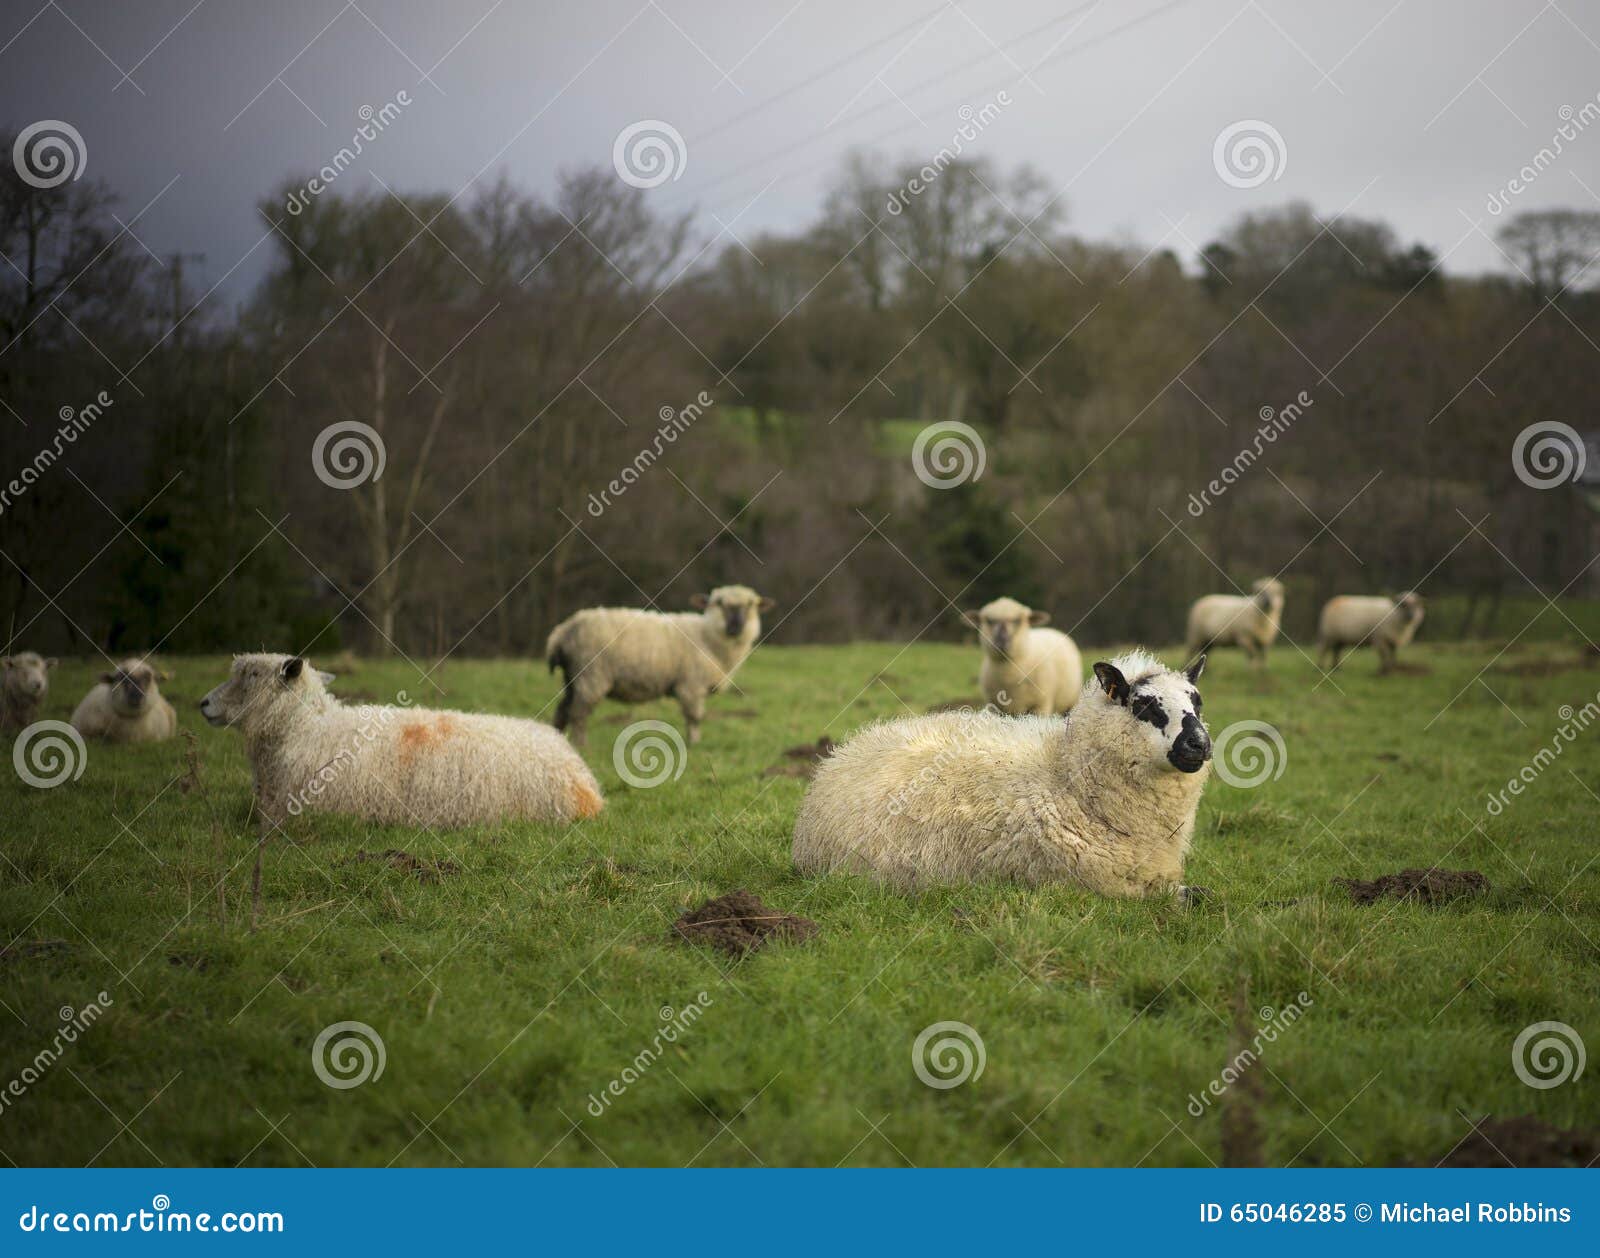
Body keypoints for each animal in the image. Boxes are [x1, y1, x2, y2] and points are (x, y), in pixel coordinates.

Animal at [545, 585, 775, 747]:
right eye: (719, 603)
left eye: (751, 604)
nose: (736, 625)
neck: (707, 637)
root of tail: (562, 631)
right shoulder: (691, 685)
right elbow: (695, 717)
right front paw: (694, 743)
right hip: (591, 676)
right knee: (578, 713)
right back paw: (582, 745)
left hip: (572, 678)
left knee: (562, 711)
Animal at [793, 650, 1213, 901]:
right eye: (1144, 706)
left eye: (1197, 702)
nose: (1200, 744)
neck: (1069, 779)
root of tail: (840, 756)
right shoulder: (1093, 885)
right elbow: (1190, 896)